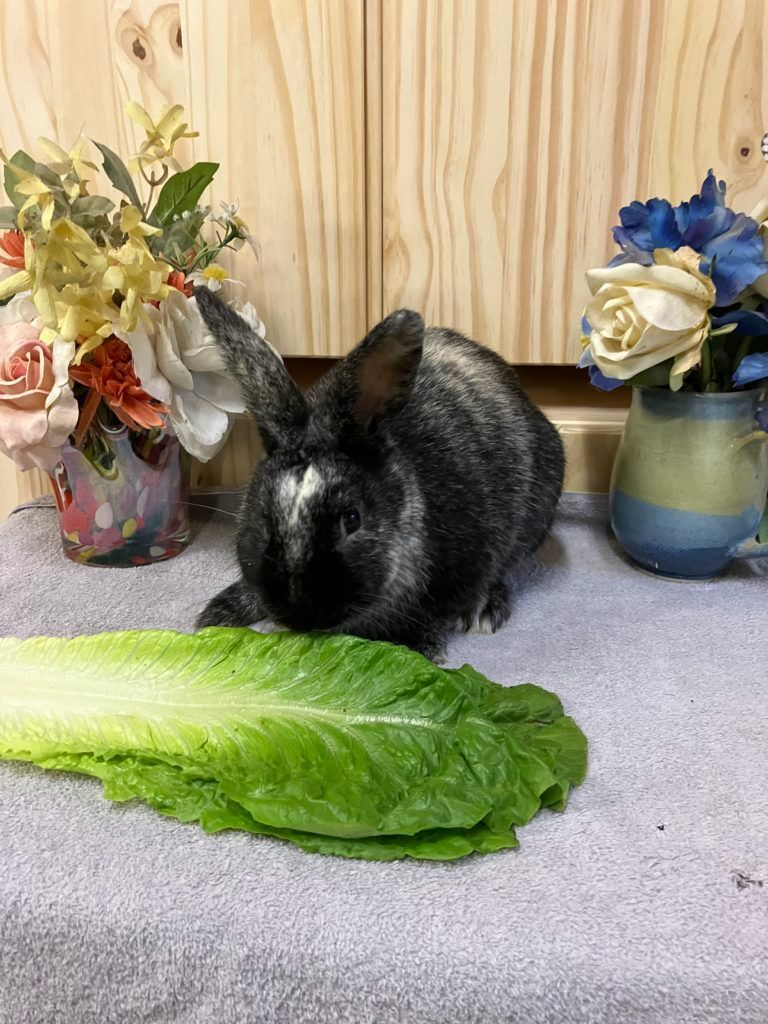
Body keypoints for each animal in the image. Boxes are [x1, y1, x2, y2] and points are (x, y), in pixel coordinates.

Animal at [194, 286, 564, 660]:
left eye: (352, 519)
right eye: (262, 517)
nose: (302, 615)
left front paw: (421, 650)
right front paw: (217, 615)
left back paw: (485, 609)